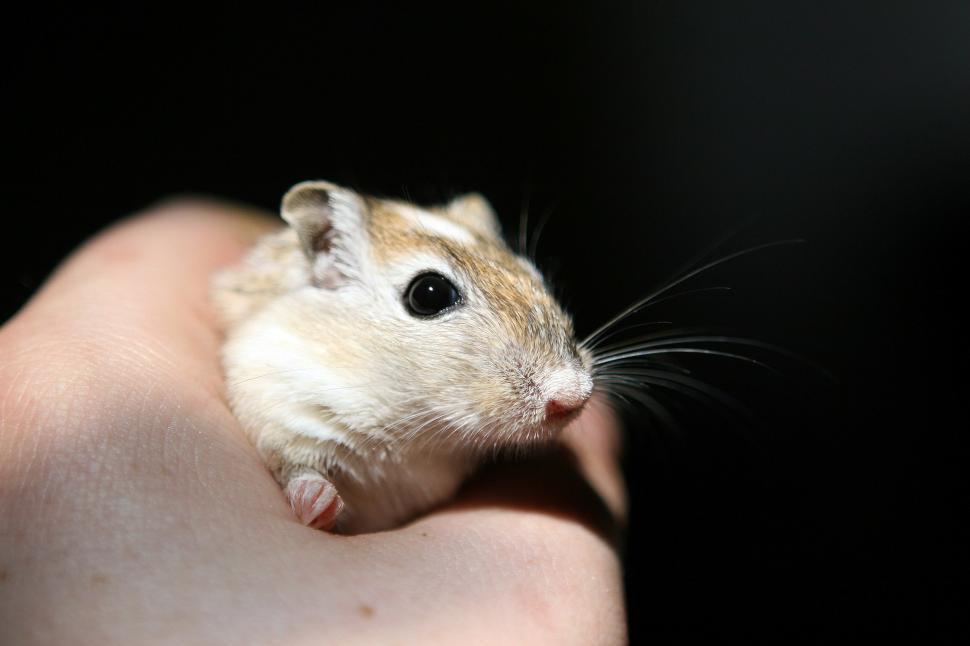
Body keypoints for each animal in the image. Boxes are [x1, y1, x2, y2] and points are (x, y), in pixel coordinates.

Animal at [212, 181, 594, 533]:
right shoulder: (276, 400)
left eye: (535, 276)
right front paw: (317, 506)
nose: (573, 397)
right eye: (429, 293)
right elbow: (296, 467)